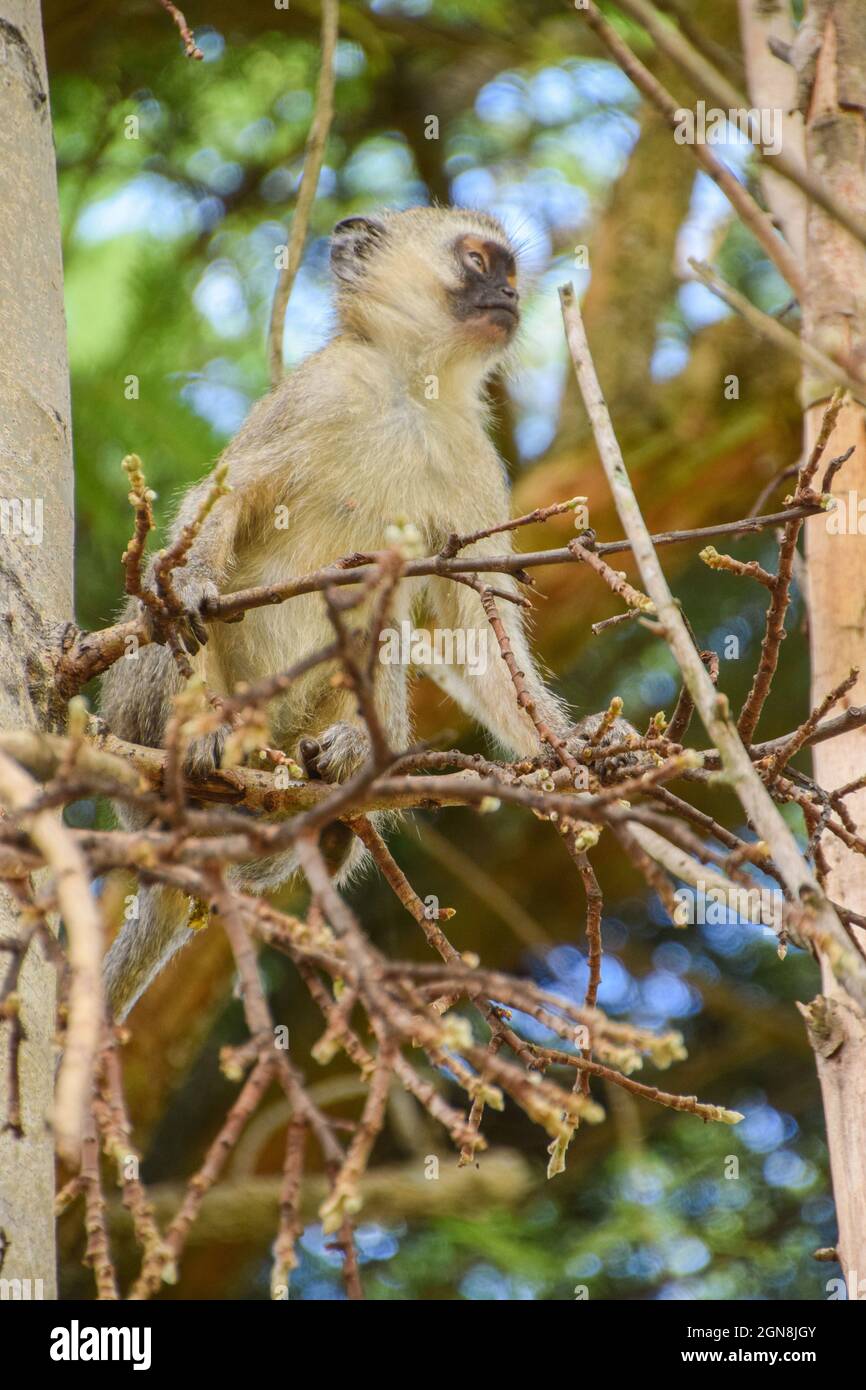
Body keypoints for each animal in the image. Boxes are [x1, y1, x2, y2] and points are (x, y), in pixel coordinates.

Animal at [101, 205, 634, 1021]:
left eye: (509, 272)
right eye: (479, 261)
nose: (510, 296)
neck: (412, 390)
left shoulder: (474, 466)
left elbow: (471, 632)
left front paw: (574, 749)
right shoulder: (316, 394)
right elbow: (229, 498)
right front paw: (188, 584)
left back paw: (338, 790)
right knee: (158, 632)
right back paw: (193, 741)